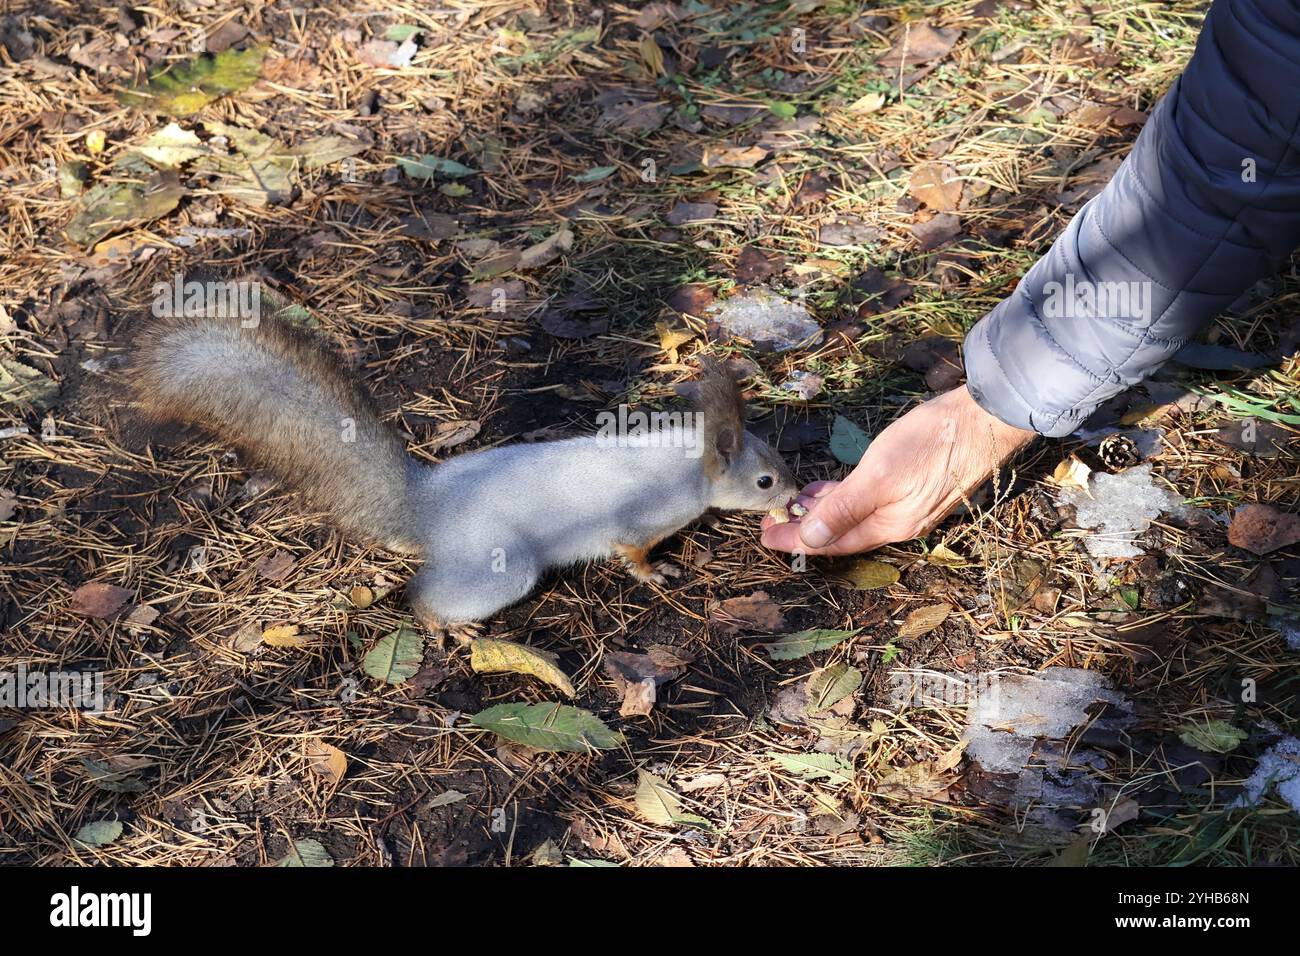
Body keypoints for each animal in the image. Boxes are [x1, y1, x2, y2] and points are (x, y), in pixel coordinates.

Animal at [125, 302, 799, 638]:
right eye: (764, 481)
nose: (795, 496)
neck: (691, 465)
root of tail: (427, 504)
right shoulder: (642, 516)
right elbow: (631, 549)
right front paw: (657, 572)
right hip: (498, 563)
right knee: (428, 595)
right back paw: (444, 627)